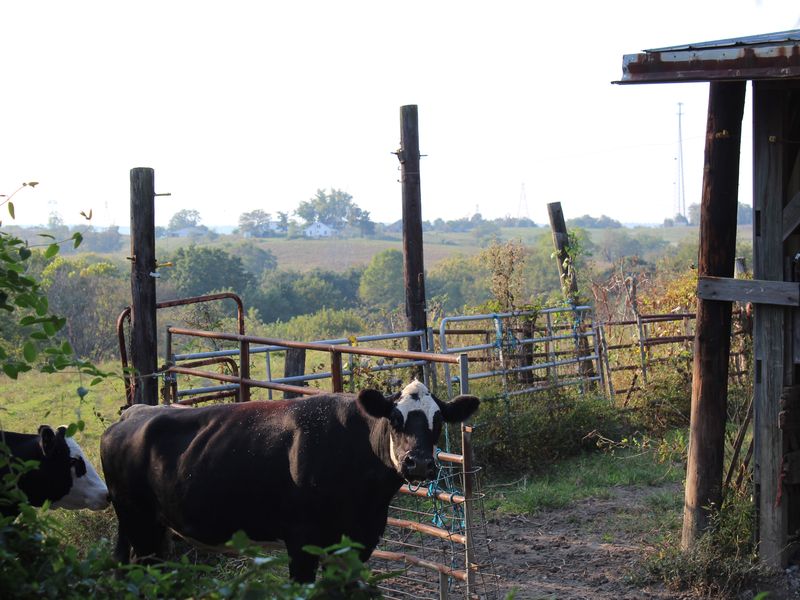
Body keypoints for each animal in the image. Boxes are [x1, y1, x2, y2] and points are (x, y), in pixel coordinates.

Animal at [100, 380, 479, 582]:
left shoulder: (358, 541)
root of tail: (133, 411)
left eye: (438, 422)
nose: (420, 463)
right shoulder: (302, 542)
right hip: (139, 521)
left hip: (148, 527)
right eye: (396, 420)